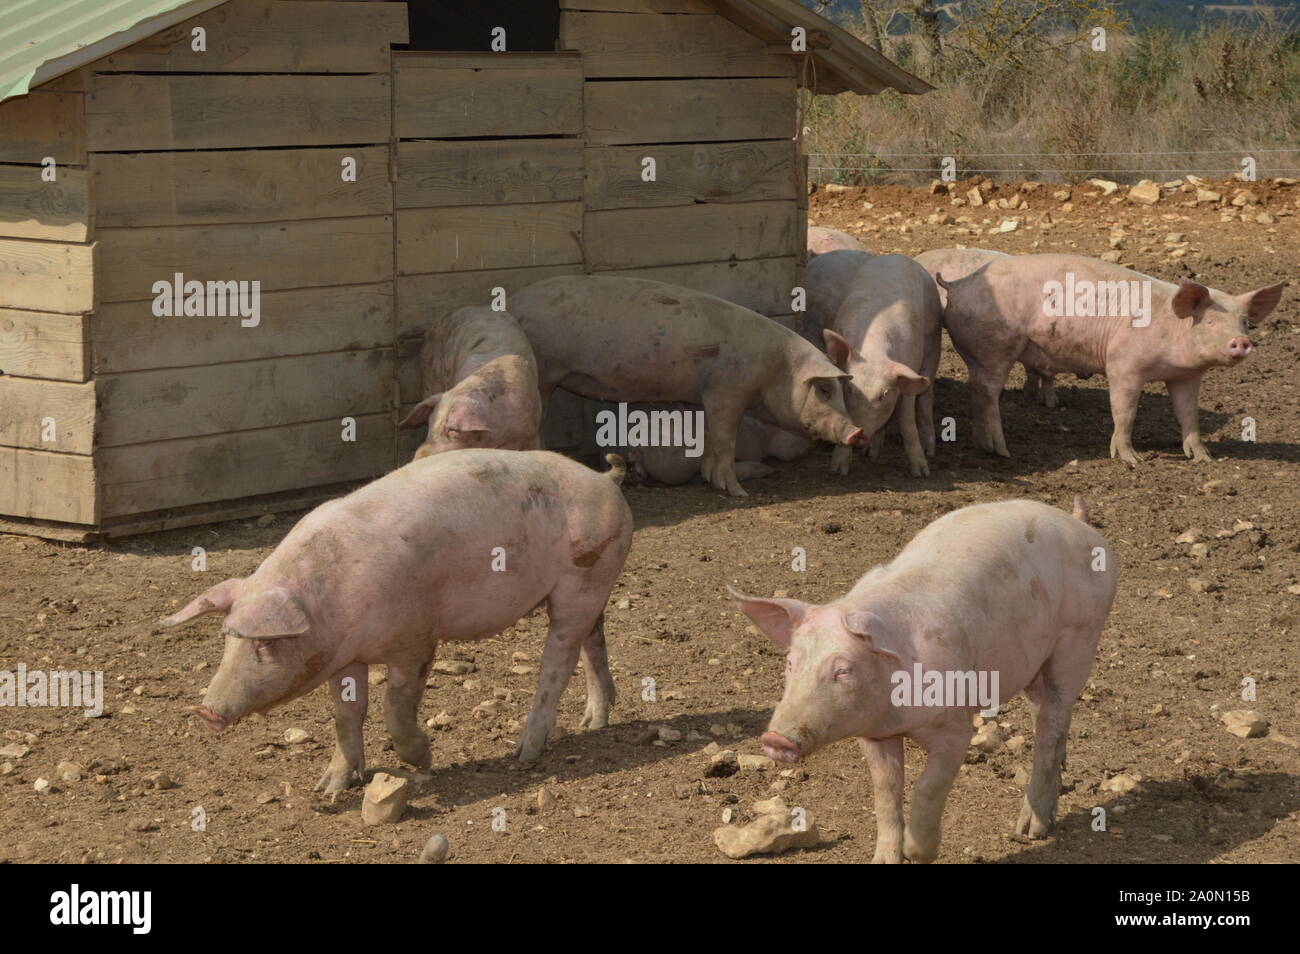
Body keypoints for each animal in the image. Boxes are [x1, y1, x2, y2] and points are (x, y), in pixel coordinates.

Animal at [160, 449, 632, 793]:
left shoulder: (417, 639)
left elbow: (394, 708)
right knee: (594, 640)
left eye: (265, 643)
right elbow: (345, 716)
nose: (206, 711)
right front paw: (328, 789)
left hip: (581, 581)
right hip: (592, 588)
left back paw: (526, 752)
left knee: (559, 660)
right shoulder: (347, 658)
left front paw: (423, 760)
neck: (333, 602)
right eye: (227, 639)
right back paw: (593, 722)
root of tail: (606, 481)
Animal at [509, 275, 864, 497]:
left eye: (843, 392)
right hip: (546, 371)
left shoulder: (703, 396)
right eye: (824, 390)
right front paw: (738, 493)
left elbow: (708, 437)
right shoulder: (727, 391)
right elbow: (725, 441)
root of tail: (514, 304)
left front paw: (709, 478)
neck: (774, 371)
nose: (856, 432)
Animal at [730, 496, 1117, 863]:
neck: (897, 713)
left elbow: (928, 787)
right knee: (1049, 722)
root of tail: (1081, 525)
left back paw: (1029, 832)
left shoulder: (956, 724)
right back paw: (1043, 820)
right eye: (791, 662)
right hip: (1036, 666)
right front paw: (883, 859)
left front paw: (919, 853)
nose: (775, 738)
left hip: (1079, 637)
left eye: (843, 669)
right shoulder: (874, 734)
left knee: (1052, 725)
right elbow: (885, 793)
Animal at [810, 253, 943, 477]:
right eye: (850, 390)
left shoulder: (908, 374)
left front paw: (921, 473)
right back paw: (871, 453)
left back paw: (930, 451)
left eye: (883, 395)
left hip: (933, 338)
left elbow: (907, 423)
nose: (858, 433)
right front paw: (838, 470)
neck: (873, 352)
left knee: (927, 394)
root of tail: (898, 256)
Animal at [938, 253, 1286, 462]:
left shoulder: (1186, 377)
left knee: (976, 391)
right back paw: (1002, 451)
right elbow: (1125, 412)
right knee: (988, 393)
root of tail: (958, 284)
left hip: (979, 355)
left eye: (1244, 322)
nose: (1241, 341)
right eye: (1210, 321)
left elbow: (1188, 414)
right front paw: (1131, 460)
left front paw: (1202, 457)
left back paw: (983, 445)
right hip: (994, 349)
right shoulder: (1123, 366)